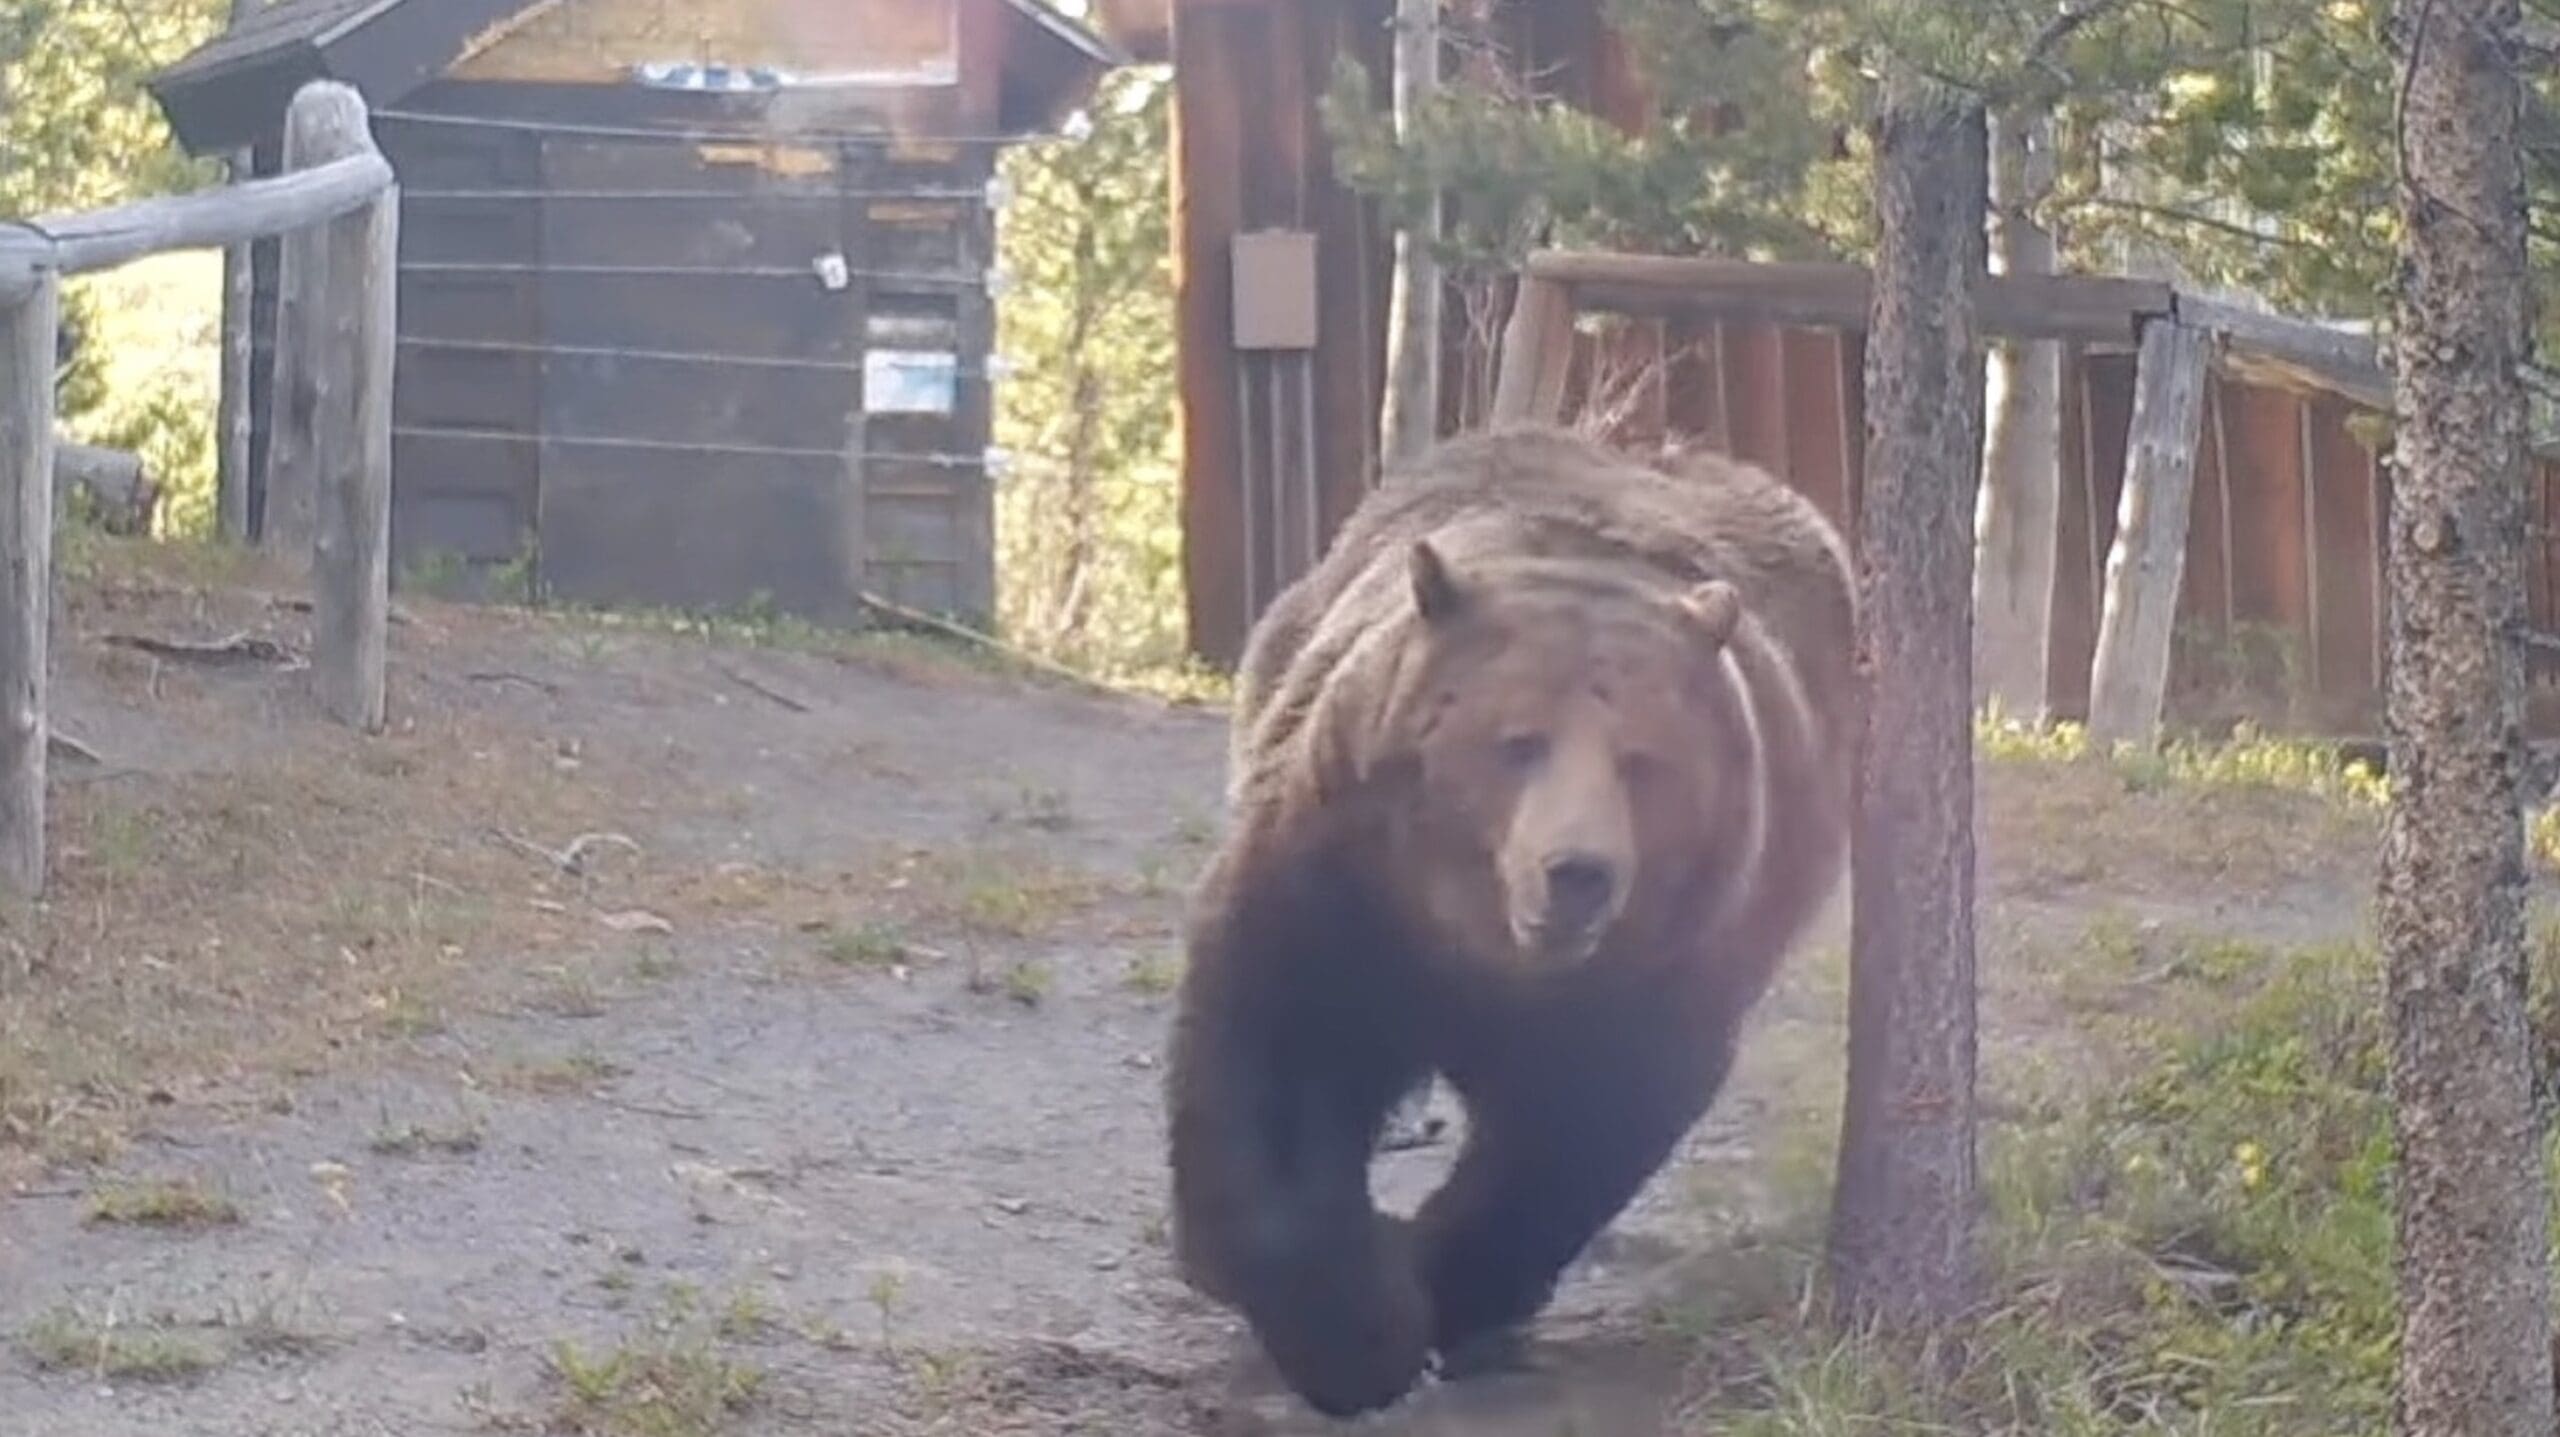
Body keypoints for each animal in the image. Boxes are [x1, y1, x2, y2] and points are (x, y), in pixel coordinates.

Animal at [1163, 423, 1860, 1418]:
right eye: (1518, 742)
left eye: (1642, 761)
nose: (1579, 872)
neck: (1485, 953)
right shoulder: (1340, 885)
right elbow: (1282, 1063)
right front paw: (1357, 1332)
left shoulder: (1660, 969)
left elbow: (1577, 1131)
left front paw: (1444, 1284)